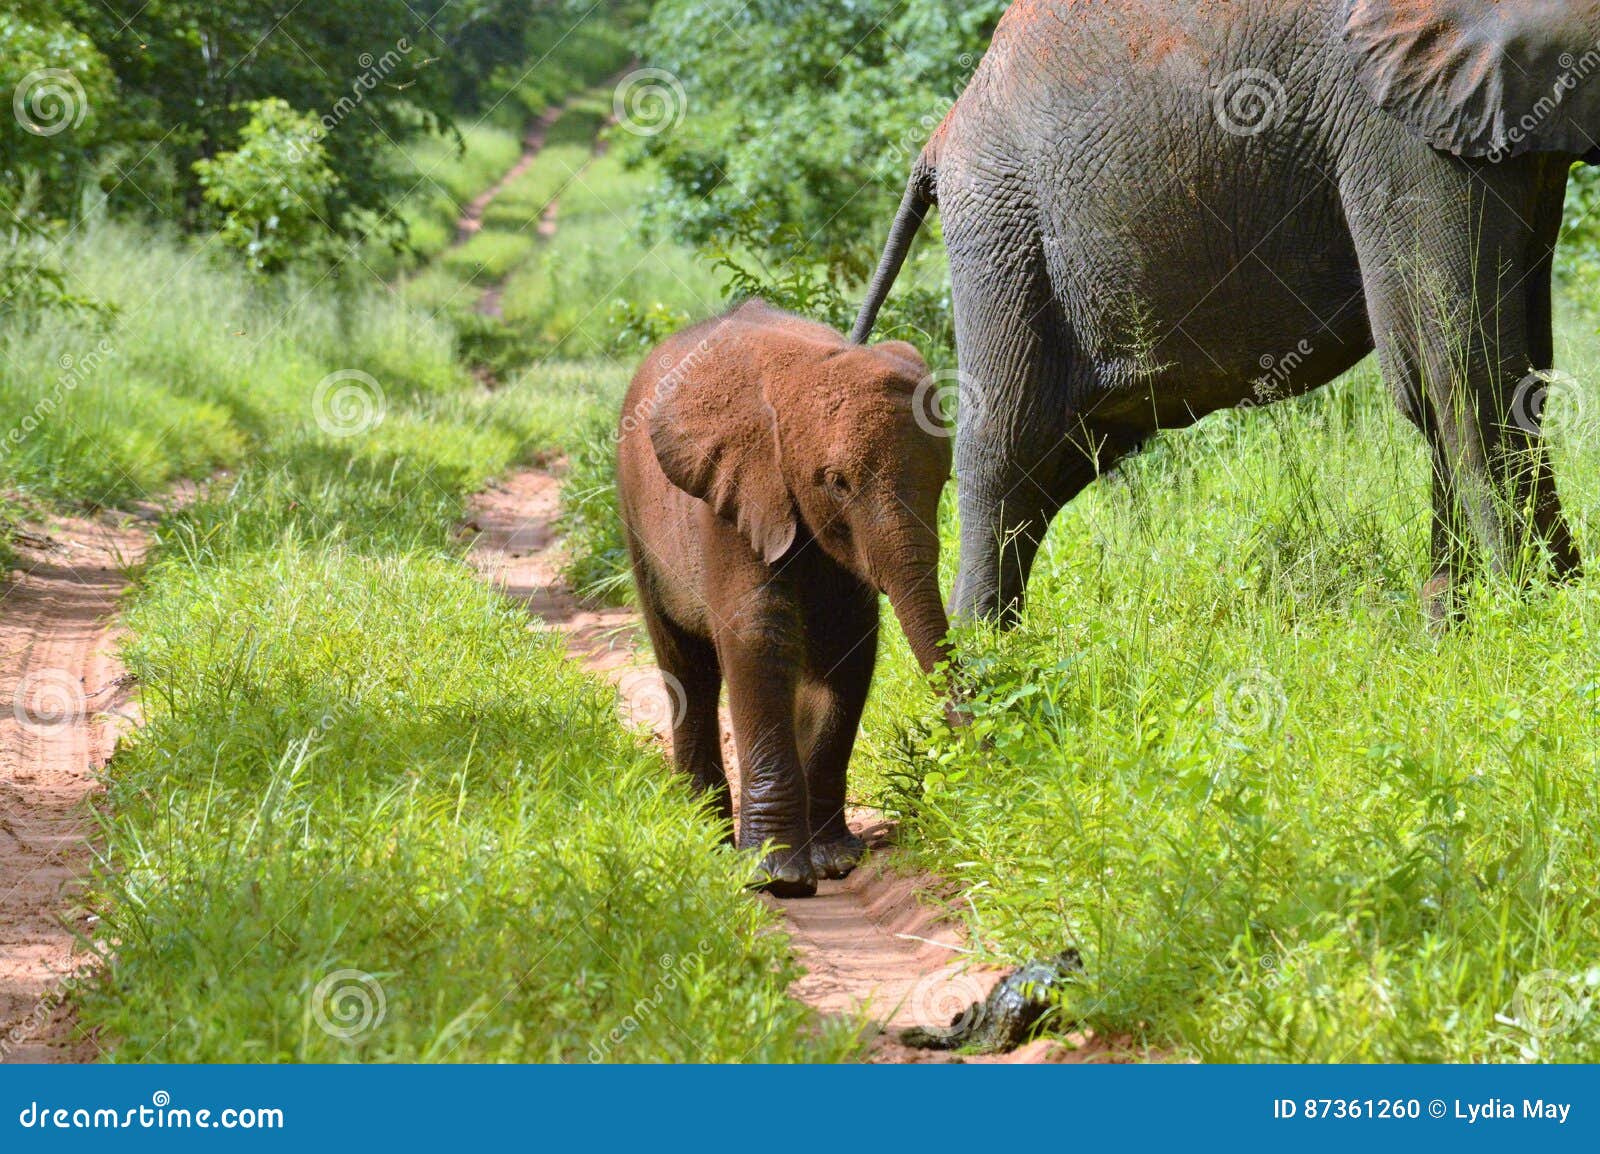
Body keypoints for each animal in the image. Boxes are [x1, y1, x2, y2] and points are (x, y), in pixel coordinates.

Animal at [616, 300, 953, 897]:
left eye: (944, 480)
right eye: (837, 482)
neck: (805, 370)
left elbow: (849, 645)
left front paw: (834, 862)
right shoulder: (731, 495)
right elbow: (758, 633)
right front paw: (779, 877)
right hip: (636, 519)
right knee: (687, 667)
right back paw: (706, 838)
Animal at [853, 0, 1600, 624]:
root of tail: (940, 135)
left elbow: (1509, 359)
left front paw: (1466, 624)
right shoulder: (1397, 127)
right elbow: (1455, 362)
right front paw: (1537, 617)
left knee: (1065, 455)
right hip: (1001, 230)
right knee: (1007, 448)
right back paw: (981, 674)